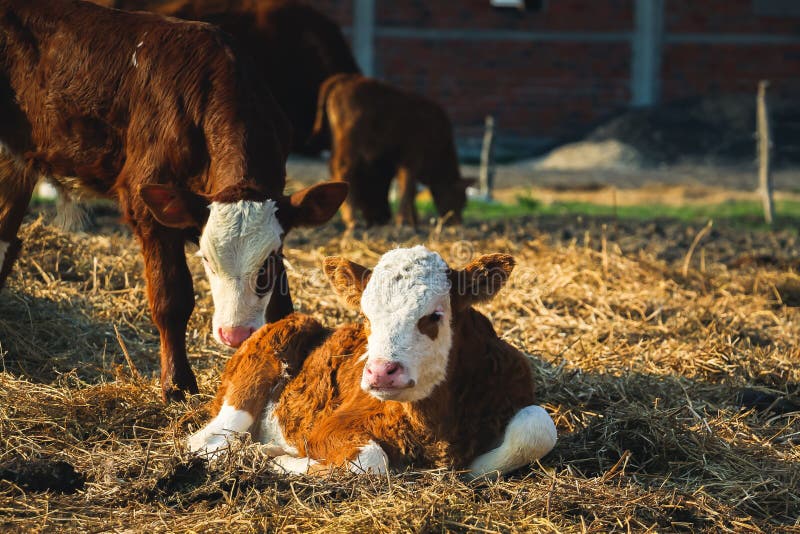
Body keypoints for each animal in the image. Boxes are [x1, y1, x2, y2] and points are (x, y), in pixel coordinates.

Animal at [0, 0, 349, 401]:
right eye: (207, 259)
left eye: (269, 261)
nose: (235, 334)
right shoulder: (147, 207)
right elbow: (172, 298)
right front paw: (178, 384)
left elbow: (281, 307)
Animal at [188, 246, 557, 478]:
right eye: (366, 317)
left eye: (434, 316)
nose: (381, 371)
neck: (435, 421)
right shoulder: (330, 426)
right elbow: (370, 460)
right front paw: (277, 461)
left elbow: (538, 427)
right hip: (254, 373)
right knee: (206, 441)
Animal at [312, 74, 474, 229]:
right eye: (461, 199)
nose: (457, 223)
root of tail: (346, 79)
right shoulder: (411, 159)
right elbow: (407, 187)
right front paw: (404, 221)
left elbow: (408, 188)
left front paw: (413, 221)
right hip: (350, 142)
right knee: (343, 168)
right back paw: (352, 219)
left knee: (333, 167)